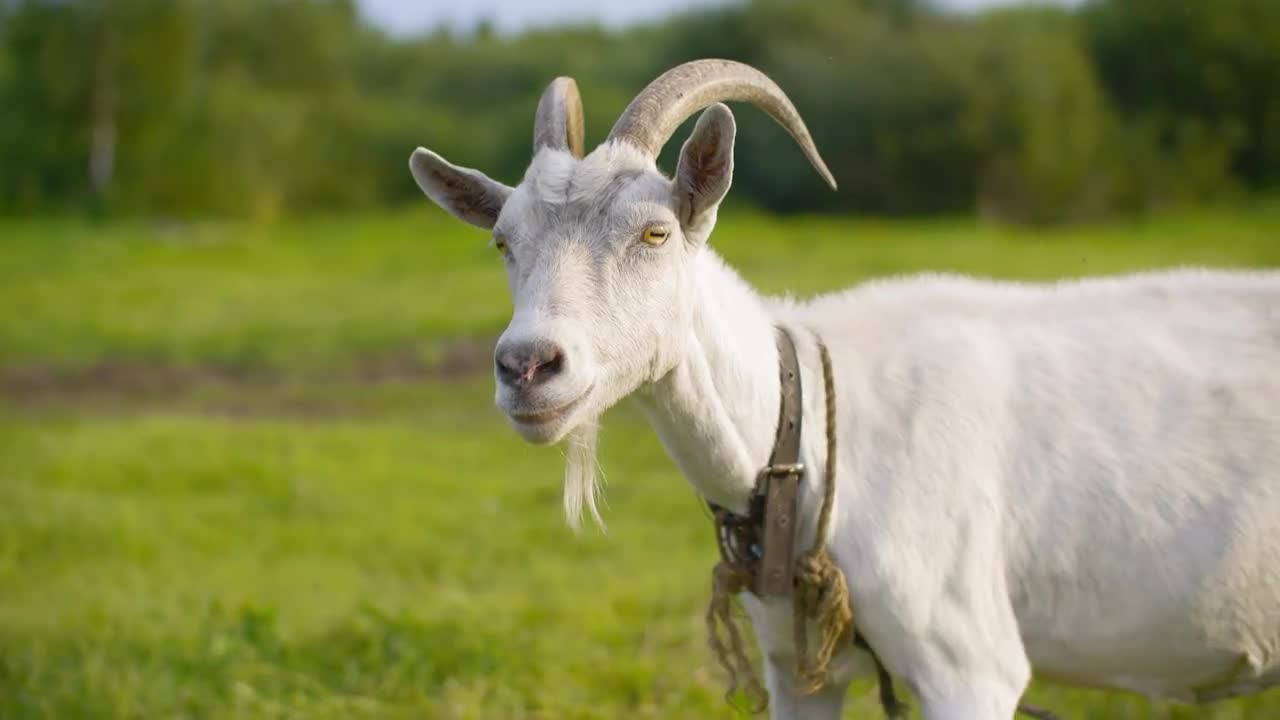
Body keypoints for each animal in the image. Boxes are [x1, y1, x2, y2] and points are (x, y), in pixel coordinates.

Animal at [409, 59, 1280, 720]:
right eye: (502, 242)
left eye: (654, 233)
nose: (528, 367)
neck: (812, 429)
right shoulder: (797, 669)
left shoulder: (969, 666)